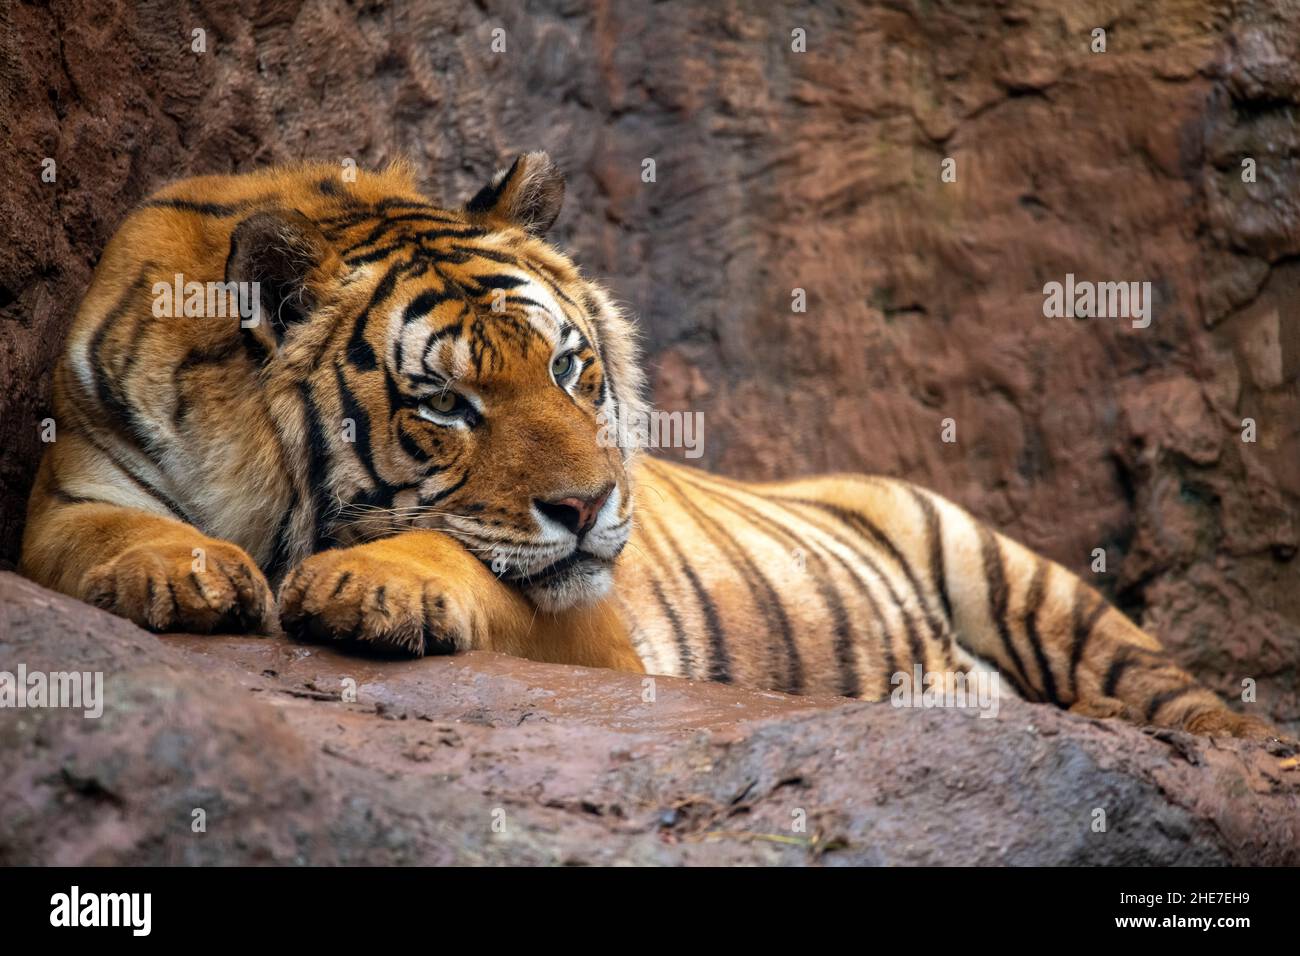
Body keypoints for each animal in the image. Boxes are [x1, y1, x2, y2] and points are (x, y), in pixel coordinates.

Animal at [19, 152, 1279, 742]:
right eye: (448, 403)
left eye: (571, 369)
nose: (586, 506)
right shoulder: (71, 477)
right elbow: (94, 536)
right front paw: (180, 569)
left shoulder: (596, 622)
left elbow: (468, 562)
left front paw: (371, 587)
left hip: (1004, 568)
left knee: (1191, 702)